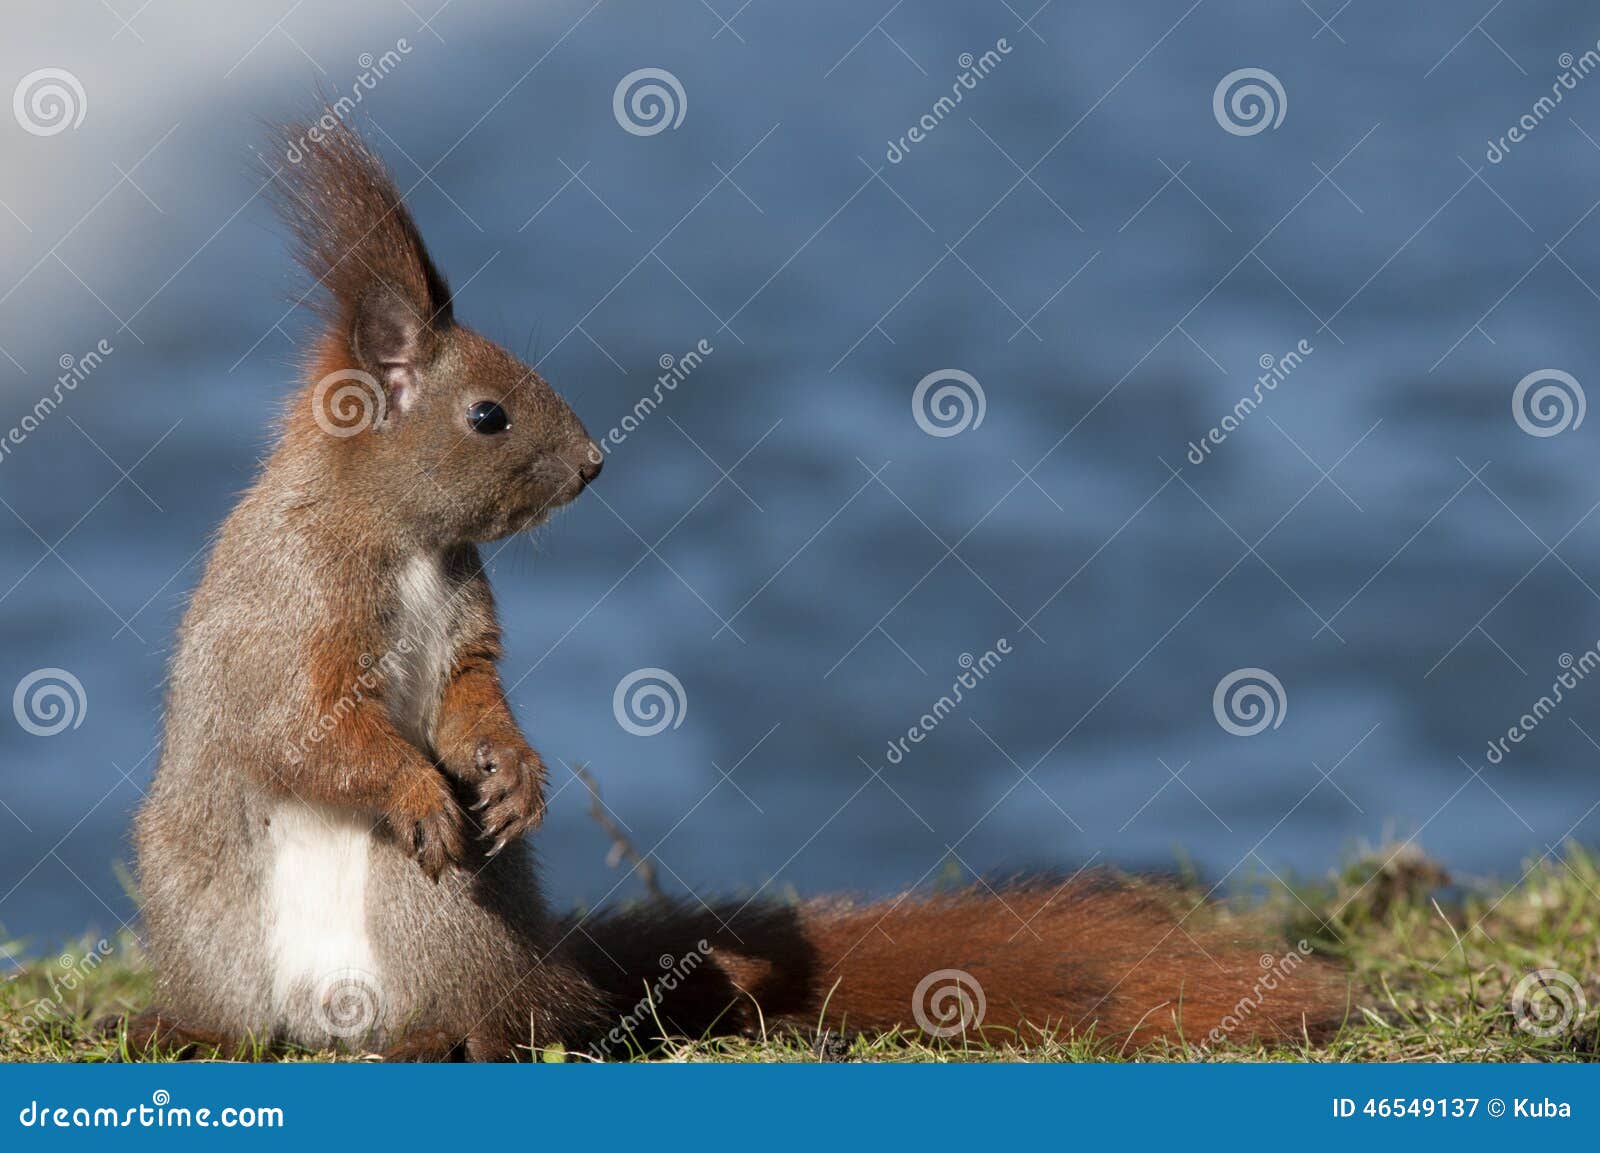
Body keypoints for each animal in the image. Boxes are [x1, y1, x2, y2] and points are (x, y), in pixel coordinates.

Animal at [124, 118, 1347, 1061]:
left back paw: (450, 1027)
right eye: (487, 415)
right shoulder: (293, 609)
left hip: (448, 926)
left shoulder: (465, 622)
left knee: (501, 1022)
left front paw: (514, 770)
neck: (404, 537)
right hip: (259, 919)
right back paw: (198, 1028)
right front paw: (422, 785)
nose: (594, 464)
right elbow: (307, 724)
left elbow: (474, 691)